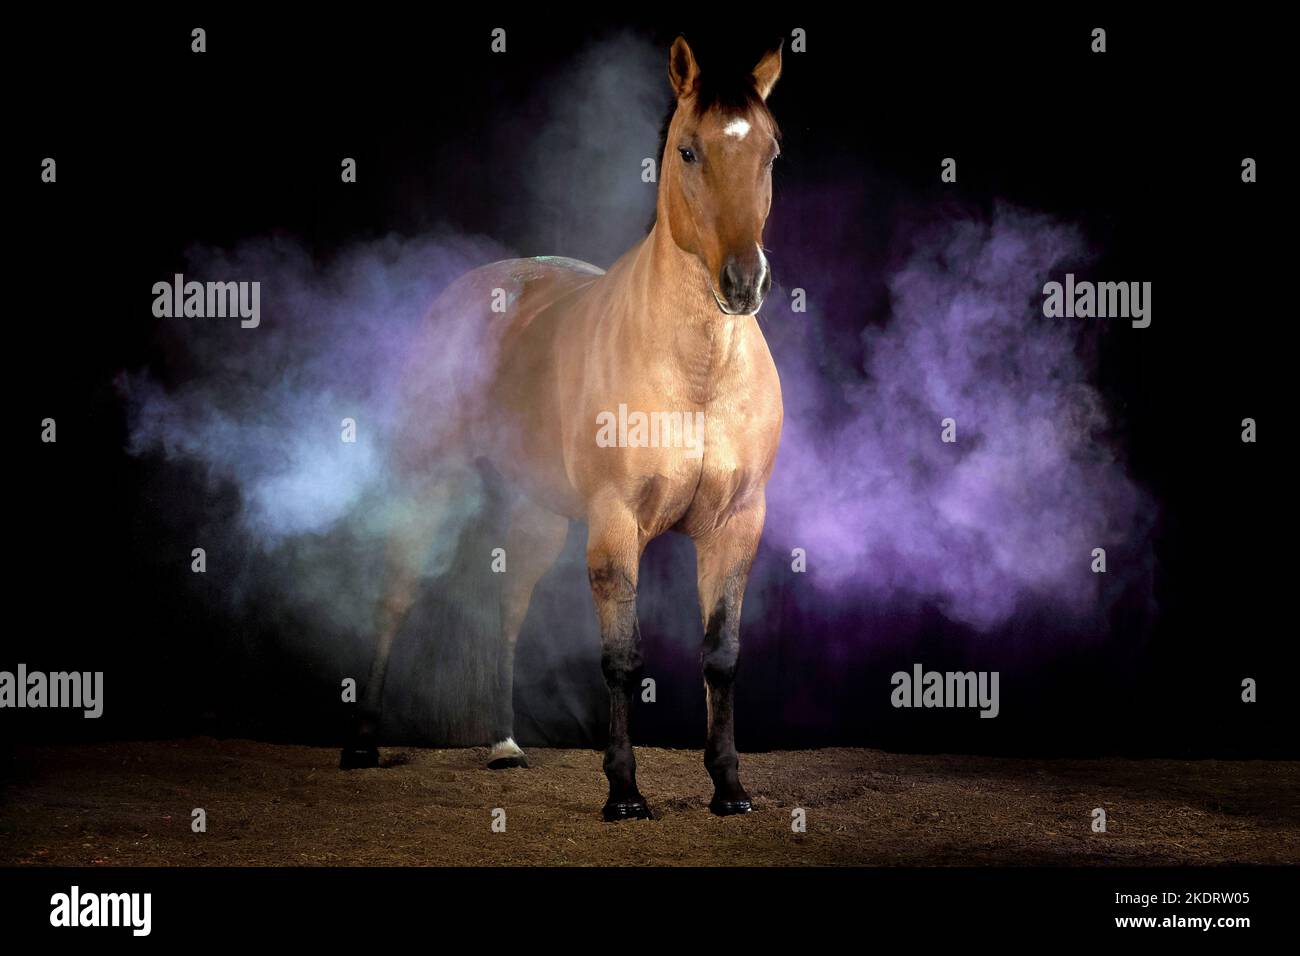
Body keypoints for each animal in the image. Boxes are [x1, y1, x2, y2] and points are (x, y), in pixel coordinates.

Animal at [341, 35, 784, 821]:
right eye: (689, 151)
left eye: (770, 150)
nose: (742, 282)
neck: (696, 372)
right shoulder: (616, 523)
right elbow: (622, 658)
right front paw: (625, 794)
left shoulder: (736, 524)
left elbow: (722, 656)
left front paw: (729, 789)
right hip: (430, 487)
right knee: (395, 593)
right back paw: (363, 744)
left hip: (537, 515)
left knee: (506, 612)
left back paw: (504, 745)